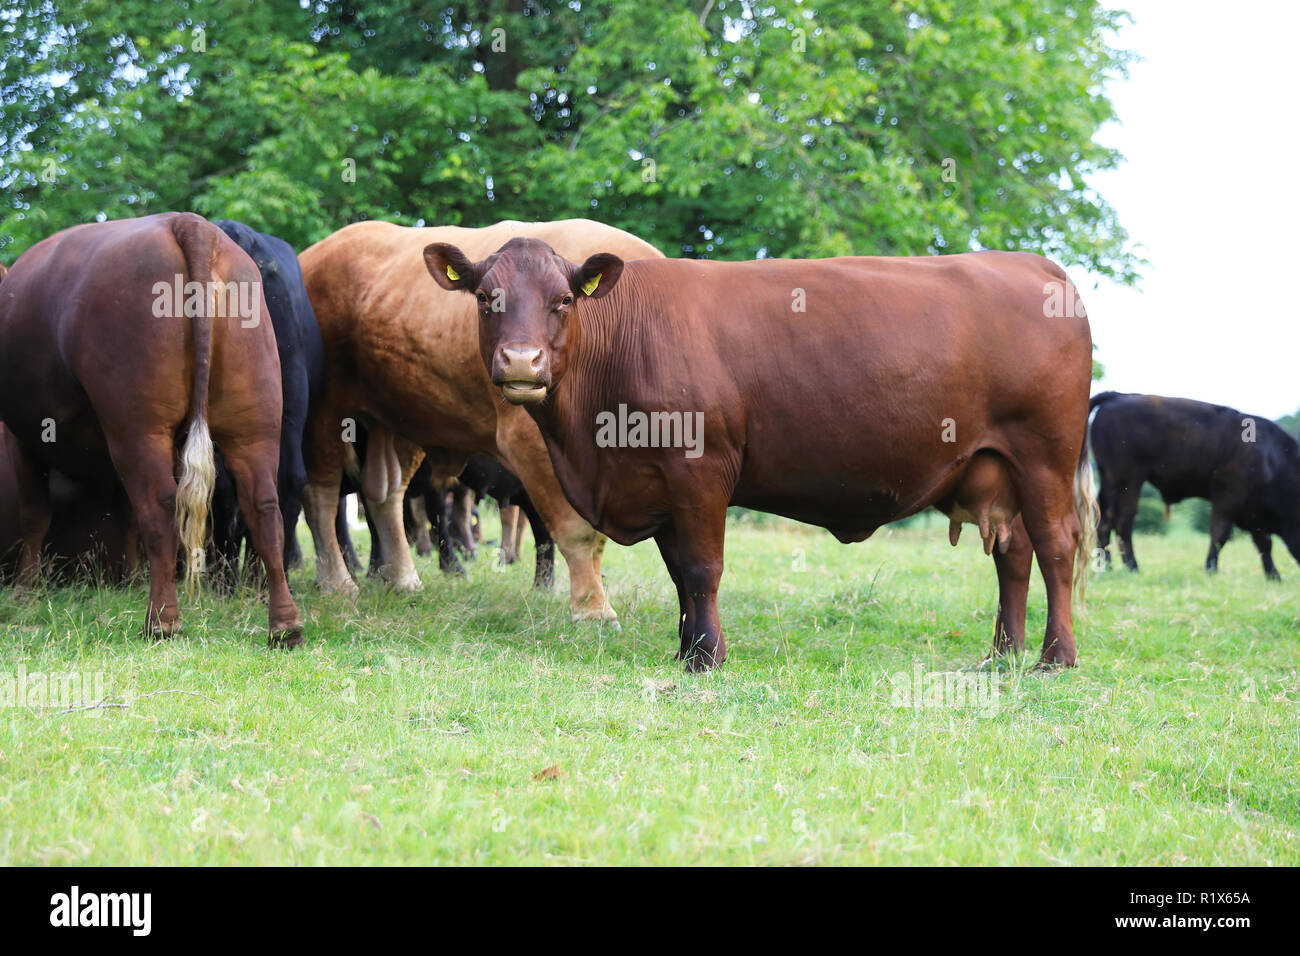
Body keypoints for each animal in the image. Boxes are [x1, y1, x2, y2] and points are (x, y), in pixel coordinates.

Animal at [0, 213, 303, 645]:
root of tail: (187, 223)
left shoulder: (22, 436)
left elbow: (35, 515)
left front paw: (26, 591)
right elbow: (125, 516)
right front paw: (129, 581)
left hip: (139, 427)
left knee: (160, 508)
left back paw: (161, 621)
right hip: (255, 421)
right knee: (264, 506)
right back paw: (285, 625)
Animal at [297, 220, 662, 625]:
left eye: (566, 299)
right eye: (484, 298)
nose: (520, 361)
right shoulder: (533, 442)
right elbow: (576, 530)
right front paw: (593, 610)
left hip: (396, 419)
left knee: (384, 493)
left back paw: (402, 578)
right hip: (325, 410)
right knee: (321, 495)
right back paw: (337, 581)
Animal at [423, 239, 1096, 670]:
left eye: (563, 299)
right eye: (485, 297)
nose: (521, 362)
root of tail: (1033, 263)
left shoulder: (698, 470)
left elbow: (702, 568)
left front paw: (707, 659)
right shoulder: (658, 486)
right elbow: (679, 573)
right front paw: (686, 648)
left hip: (1044, 456)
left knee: (1055, 546)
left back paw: (1055, 656)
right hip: (997, 468)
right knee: (1012, 552)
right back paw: (1003, 652)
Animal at [1090, 391, 1300, 578]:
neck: (1272, 457)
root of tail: (1118, 396)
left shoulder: (1255, 511)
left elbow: (1264, 543)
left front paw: (1273, 575)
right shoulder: (1227, 497)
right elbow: (1220, 535)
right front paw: (1211, 569)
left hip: (1109, 483)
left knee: (1104, 522)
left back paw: (1106, 566)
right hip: (1128, 482)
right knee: (1122, 522)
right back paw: (1133, 567)